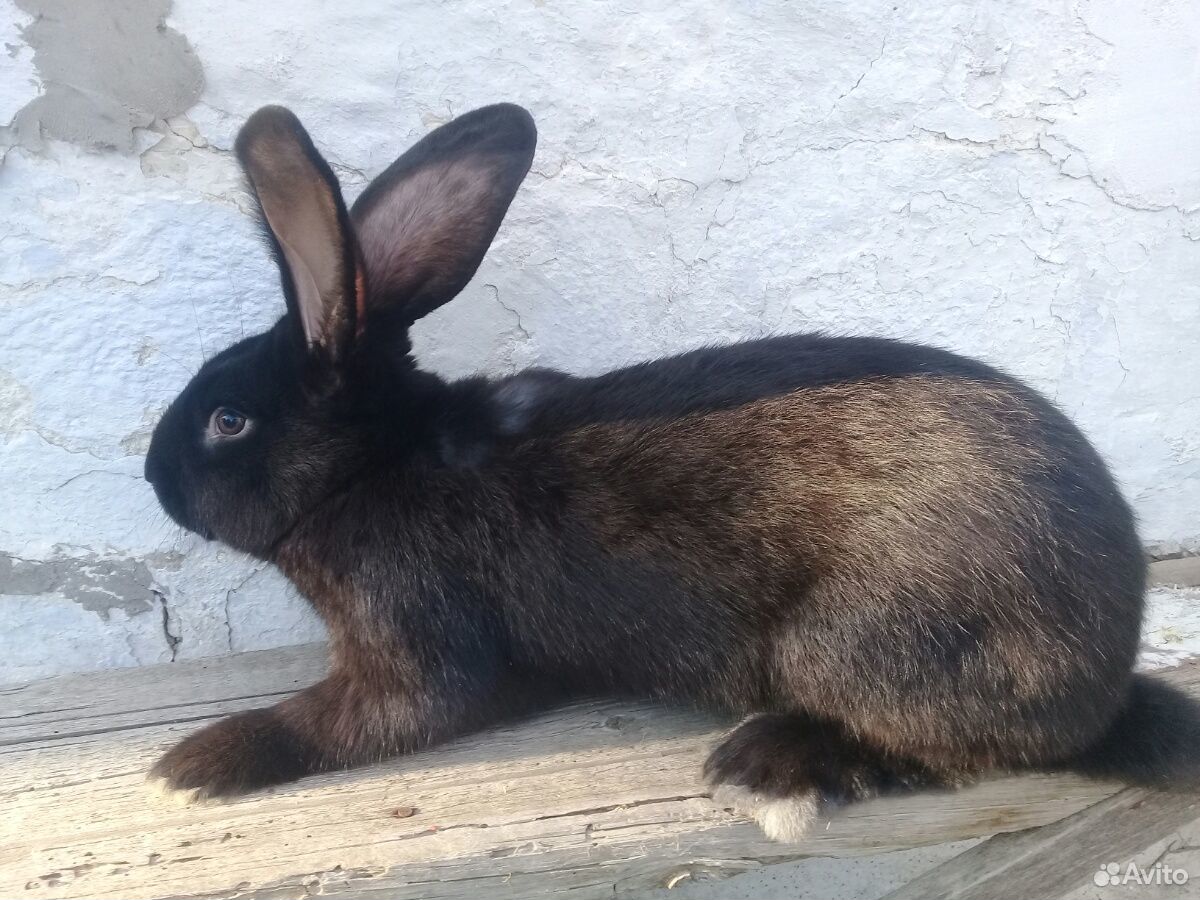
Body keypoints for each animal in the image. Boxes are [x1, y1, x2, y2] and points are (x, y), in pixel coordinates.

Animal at [143, 102, 1200, 841]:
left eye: (228, 420)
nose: (153, 480)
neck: (378, 462)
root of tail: (1105, 684)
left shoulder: (417, 648)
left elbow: (341, 719)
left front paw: (193, 763)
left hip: (861, 641)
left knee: (962, 750)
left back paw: (769, 761)